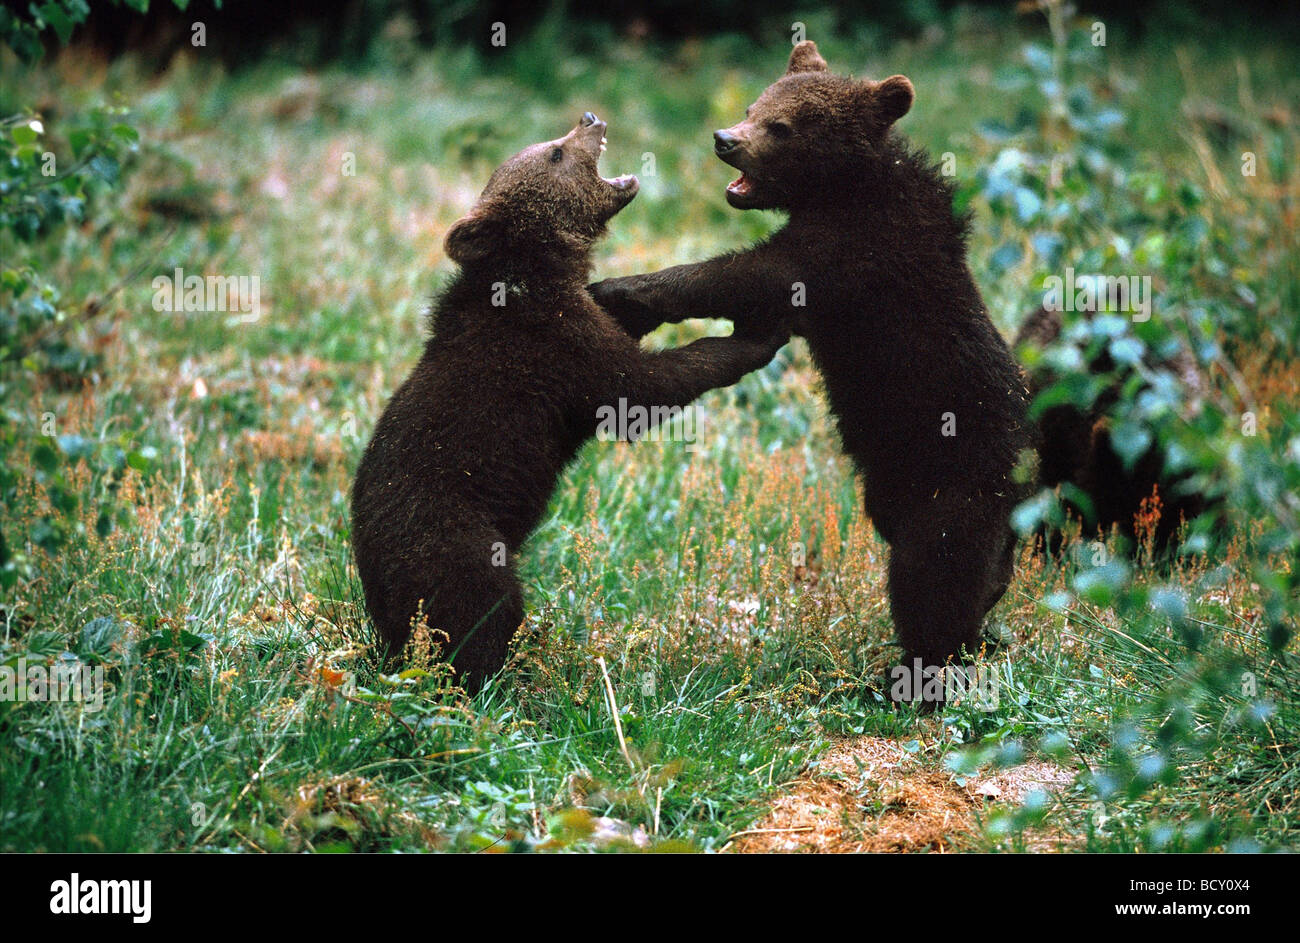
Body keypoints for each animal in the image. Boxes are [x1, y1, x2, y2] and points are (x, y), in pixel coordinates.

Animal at [351, 112, 787, 690]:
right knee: (480, 614)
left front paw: (632, 293)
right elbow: (641, 387)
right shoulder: (557, 350)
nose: (589, 118)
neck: (539, 273)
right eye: (555, 153)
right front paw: (752, 339)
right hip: (455, 542)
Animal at [590, 42, 1032, 684]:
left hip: (953, 477)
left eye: (783, 126)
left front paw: (620, 291)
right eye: (755, 104)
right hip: (895, 485)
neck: (841, 188)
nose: (726, 138)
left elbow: (748, 275)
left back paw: (921, 671)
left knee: (933, 575)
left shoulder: (853, 252)